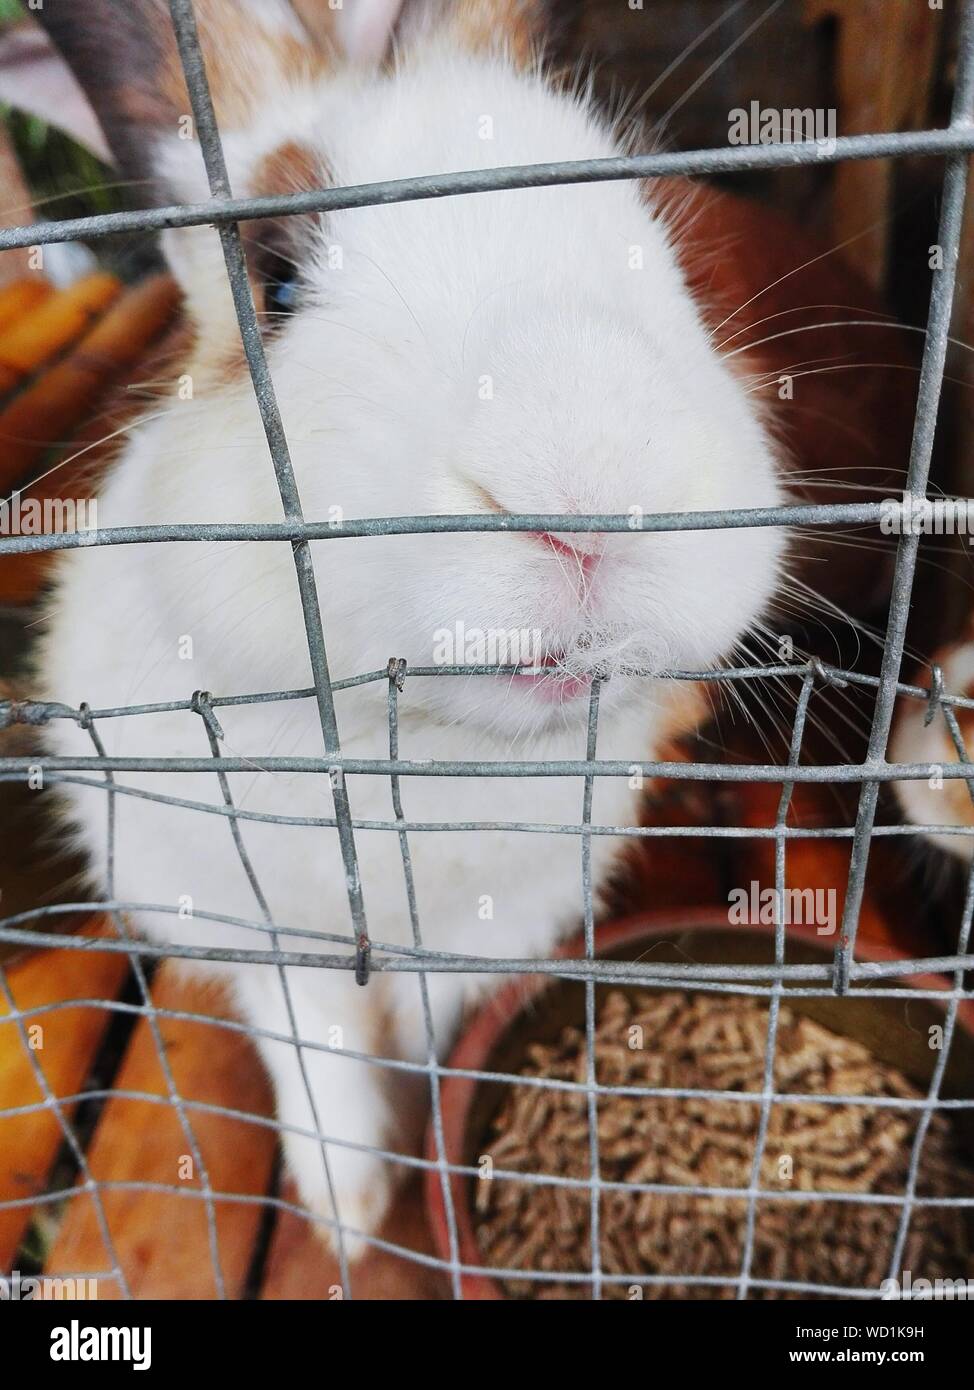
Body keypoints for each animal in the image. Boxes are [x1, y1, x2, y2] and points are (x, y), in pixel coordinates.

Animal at [28, 0, 910, 1256]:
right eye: (274, 282)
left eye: (647, 228)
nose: (588, 483)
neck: (416, 761)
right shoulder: (261, 931)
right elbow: (319, 1056)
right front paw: (349, 1212)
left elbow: (430, 1033)